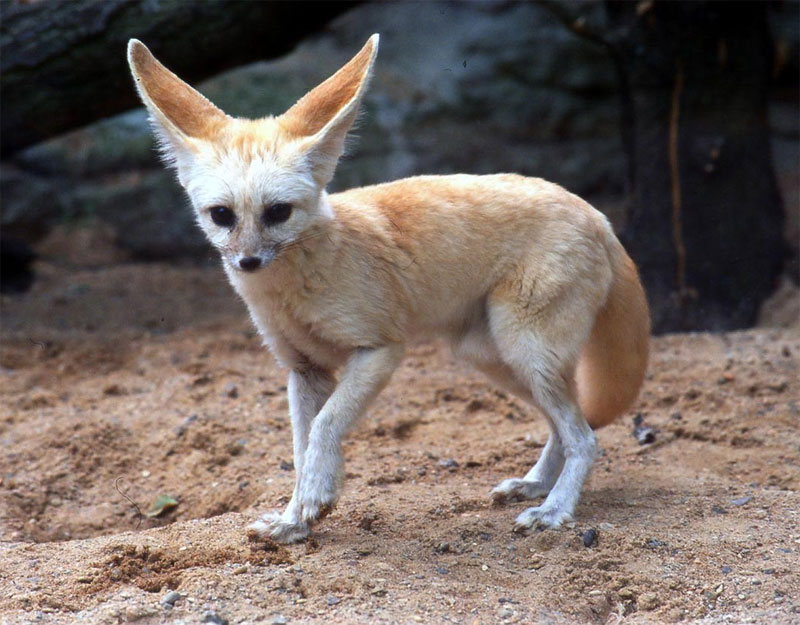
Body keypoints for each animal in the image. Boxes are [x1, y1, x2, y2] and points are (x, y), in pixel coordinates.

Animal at [126, 34, 649, 544]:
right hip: (493, 356)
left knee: (585, 437)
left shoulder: (380, 350)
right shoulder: (304, 370)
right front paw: (296, 520)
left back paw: (555, 509)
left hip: (526, 352)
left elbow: (324, 427)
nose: (247, 262)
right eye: (222, 215)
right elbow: (301, 447)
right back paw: (536, 485)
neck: (293, 289)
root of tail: (597, 215)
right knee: (570, 426)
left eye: (278, 213)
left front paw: (314, 500)